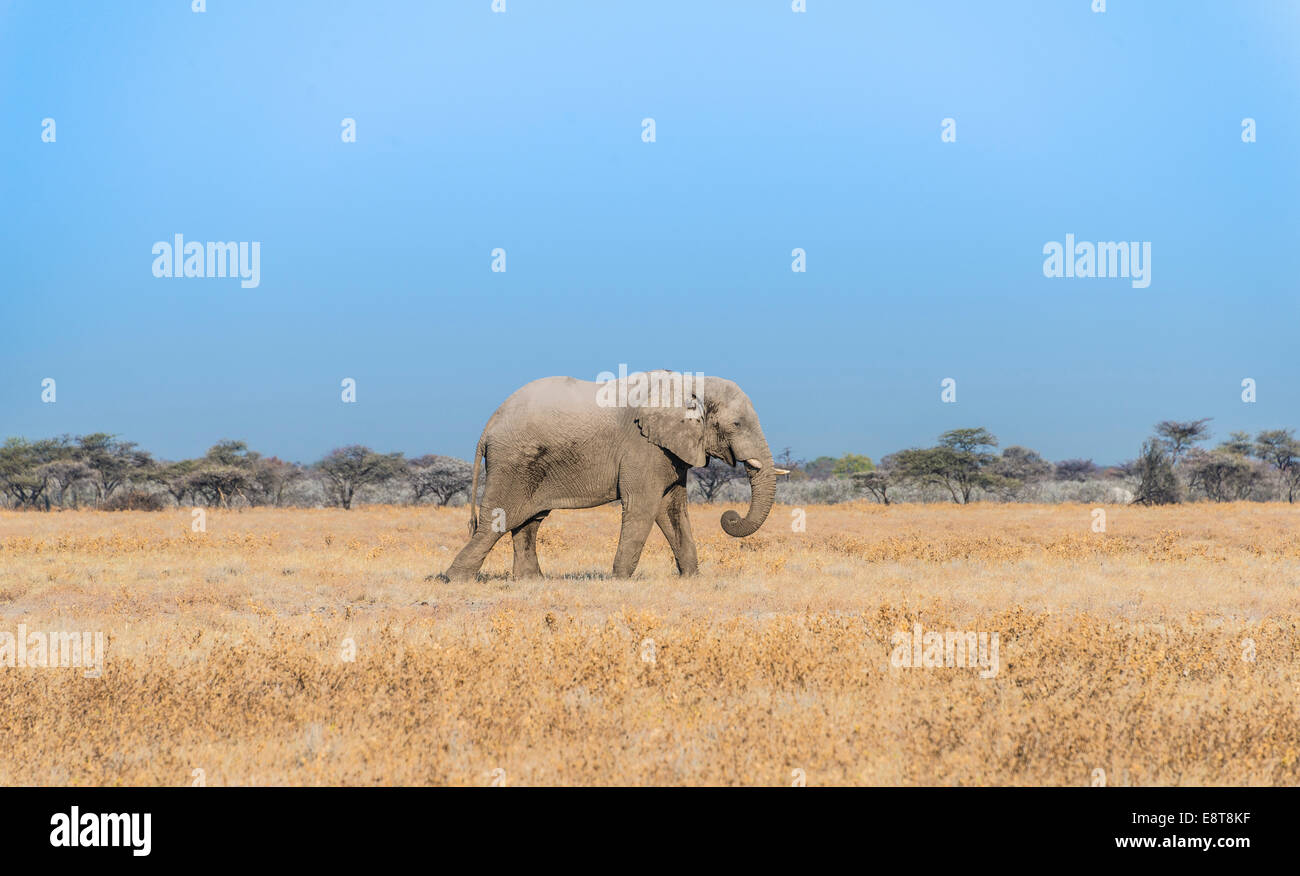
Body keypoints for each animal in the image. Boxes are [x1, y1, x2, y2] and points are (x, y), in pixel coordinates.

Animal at [441, 372, 786, 580]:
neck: (690, 382)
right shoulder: (643, 447)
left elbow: (671, 509)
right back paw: (456, 579)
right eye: (737, 424)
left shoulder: (668, 450)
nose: (729, 515)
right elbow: (643, 506)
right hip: (513, 461)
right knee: (497, 522)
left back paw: (531, 581)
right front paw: (620, 580)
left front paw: (691, 578)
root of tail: (488, 427)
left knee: (529, 521)